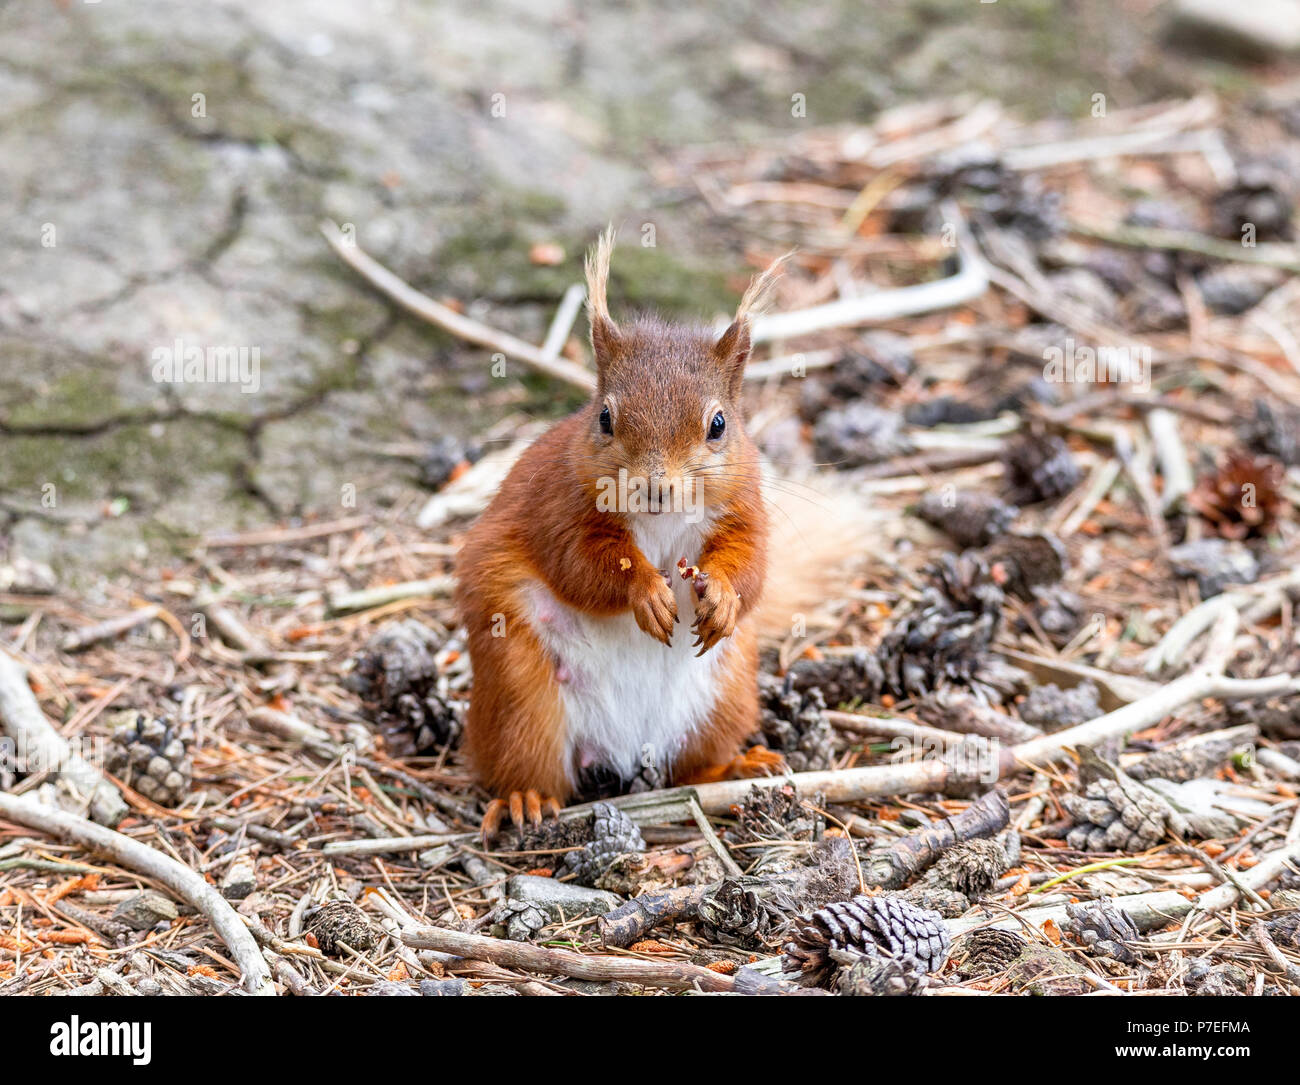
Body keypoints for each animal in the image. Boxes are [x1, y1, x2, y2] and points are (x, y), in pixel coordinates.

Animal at [456, 230, 827, 839]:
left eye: (719, 424)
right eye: (604, 418)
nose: (655, 487)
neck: (659, 522)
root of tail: (626, 747)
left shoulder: (745, 509)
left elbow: (750, 568)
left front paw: (723, 597)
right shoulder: (557, 507)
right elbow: (581, 565)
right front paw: (646, 593)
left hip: (723, 700)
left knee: (693, 768)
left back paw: (739, 766)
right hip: (520, 696)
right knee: (526, 763)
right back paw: (525, 799)